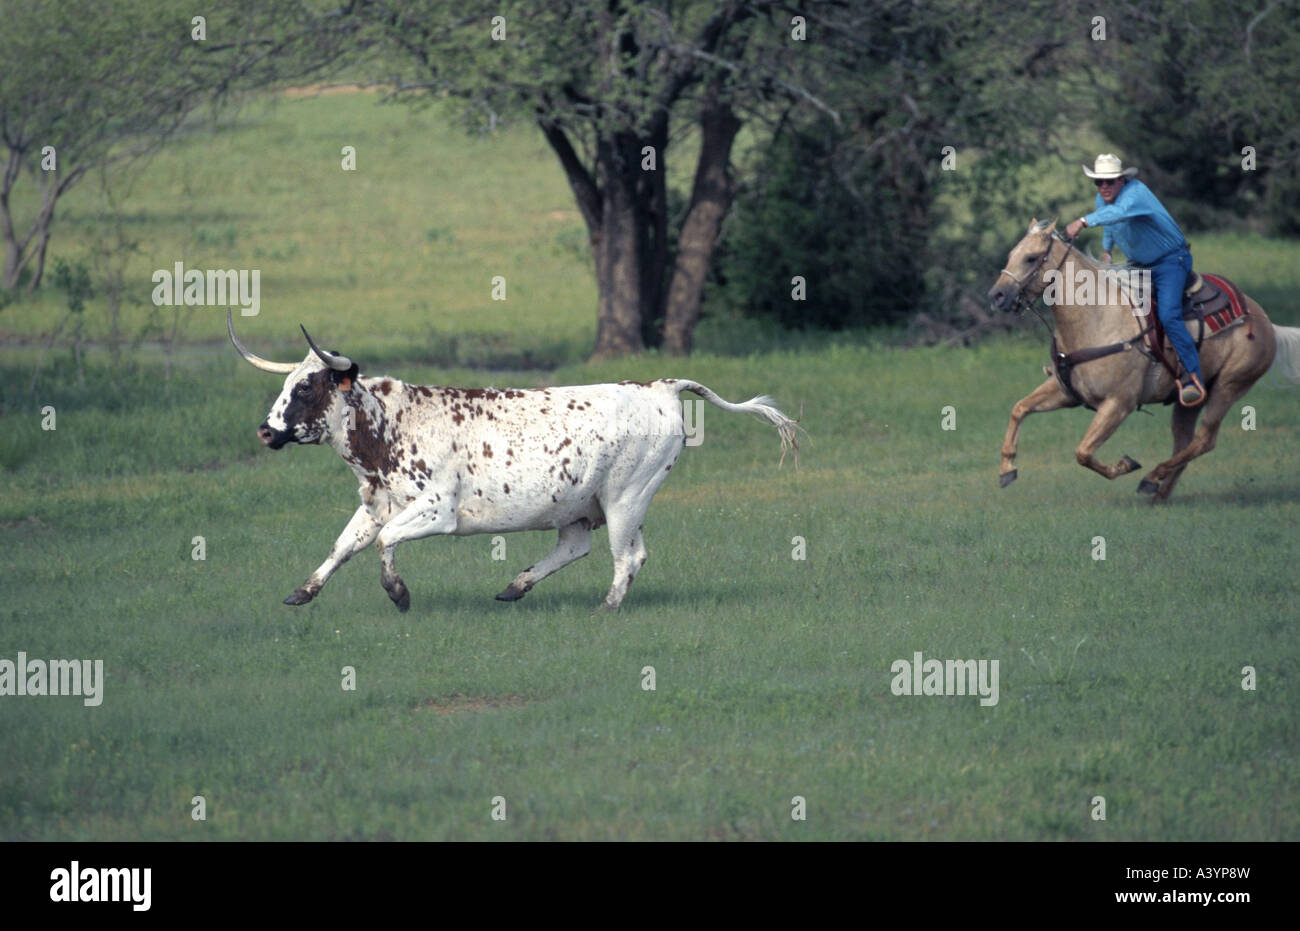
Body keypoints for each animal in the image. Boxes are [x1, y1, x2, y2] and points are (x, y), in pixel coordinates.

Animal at [227, 311, 799, 612]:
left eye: (306, 386)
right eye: (287, 383)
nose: (265, 430)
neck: (392, 423)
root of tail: (658, 385)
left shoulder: (436, 510)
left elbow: (386, 544)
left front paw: (399, 593)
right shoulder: (376, 504)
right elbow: (344, 546)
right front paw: (303, 592)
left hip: (625, 497)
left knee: (628, 556)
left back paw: (607, 606)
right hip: (581, 504)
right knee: (575, 546)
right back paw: (515, 587)